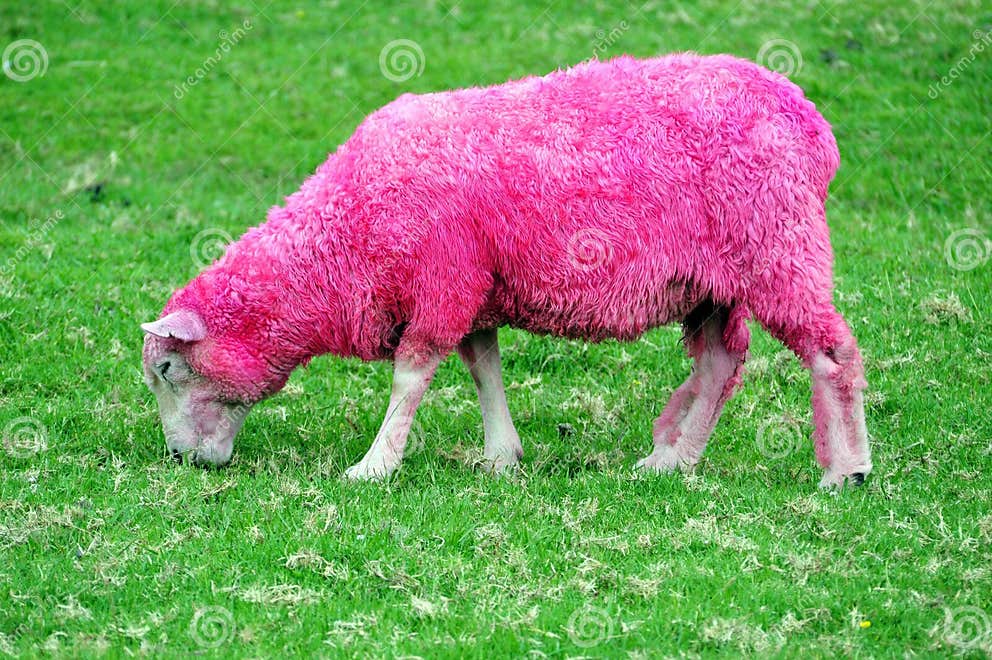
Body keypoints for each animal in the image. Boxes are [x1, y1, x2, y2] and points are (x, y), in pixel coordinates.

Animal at [141, 53, 872, 488]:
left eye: (168, 370)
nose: (179, 459)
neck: (343, 233)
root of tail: (807, 115)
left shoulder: (442, 281)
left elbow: (411, 376)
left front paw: (375, 465)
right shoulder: (474, 286)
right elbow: (482, 365)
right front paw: (500, 454)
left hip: (780, 248)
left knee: (833, 352)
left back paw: (847, 470)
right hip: (719, 281)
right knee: (721, 361)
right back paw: (672, 459)